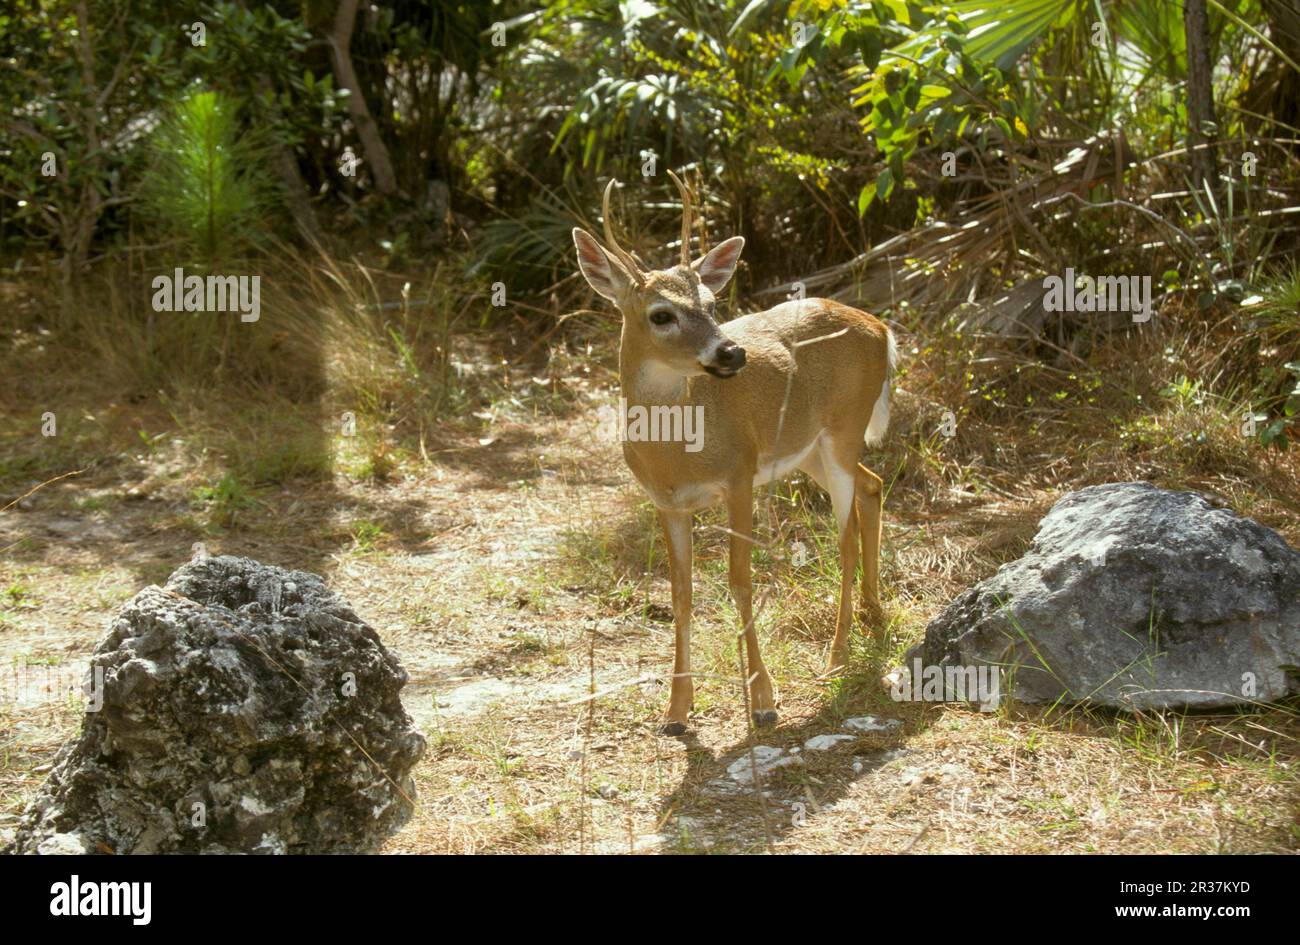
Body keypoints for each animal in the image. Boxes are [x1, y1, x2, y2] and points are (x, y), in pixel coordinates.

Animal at [572, 172, 897, 735]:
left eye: (712, 305)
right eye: (662, 314)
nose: (732, 352)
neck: (674, 450)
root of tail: (882, 329)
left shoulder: (740, 474)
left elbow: (740, 581)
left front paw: (764, 701)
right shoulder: (666, 503)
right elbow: (680, 595)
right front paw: (676, 712)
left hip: (842, 429)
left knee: (846, 535)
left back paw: (836, 657)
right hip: (810, 449)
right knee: (872, 486)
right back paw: (873, 615)